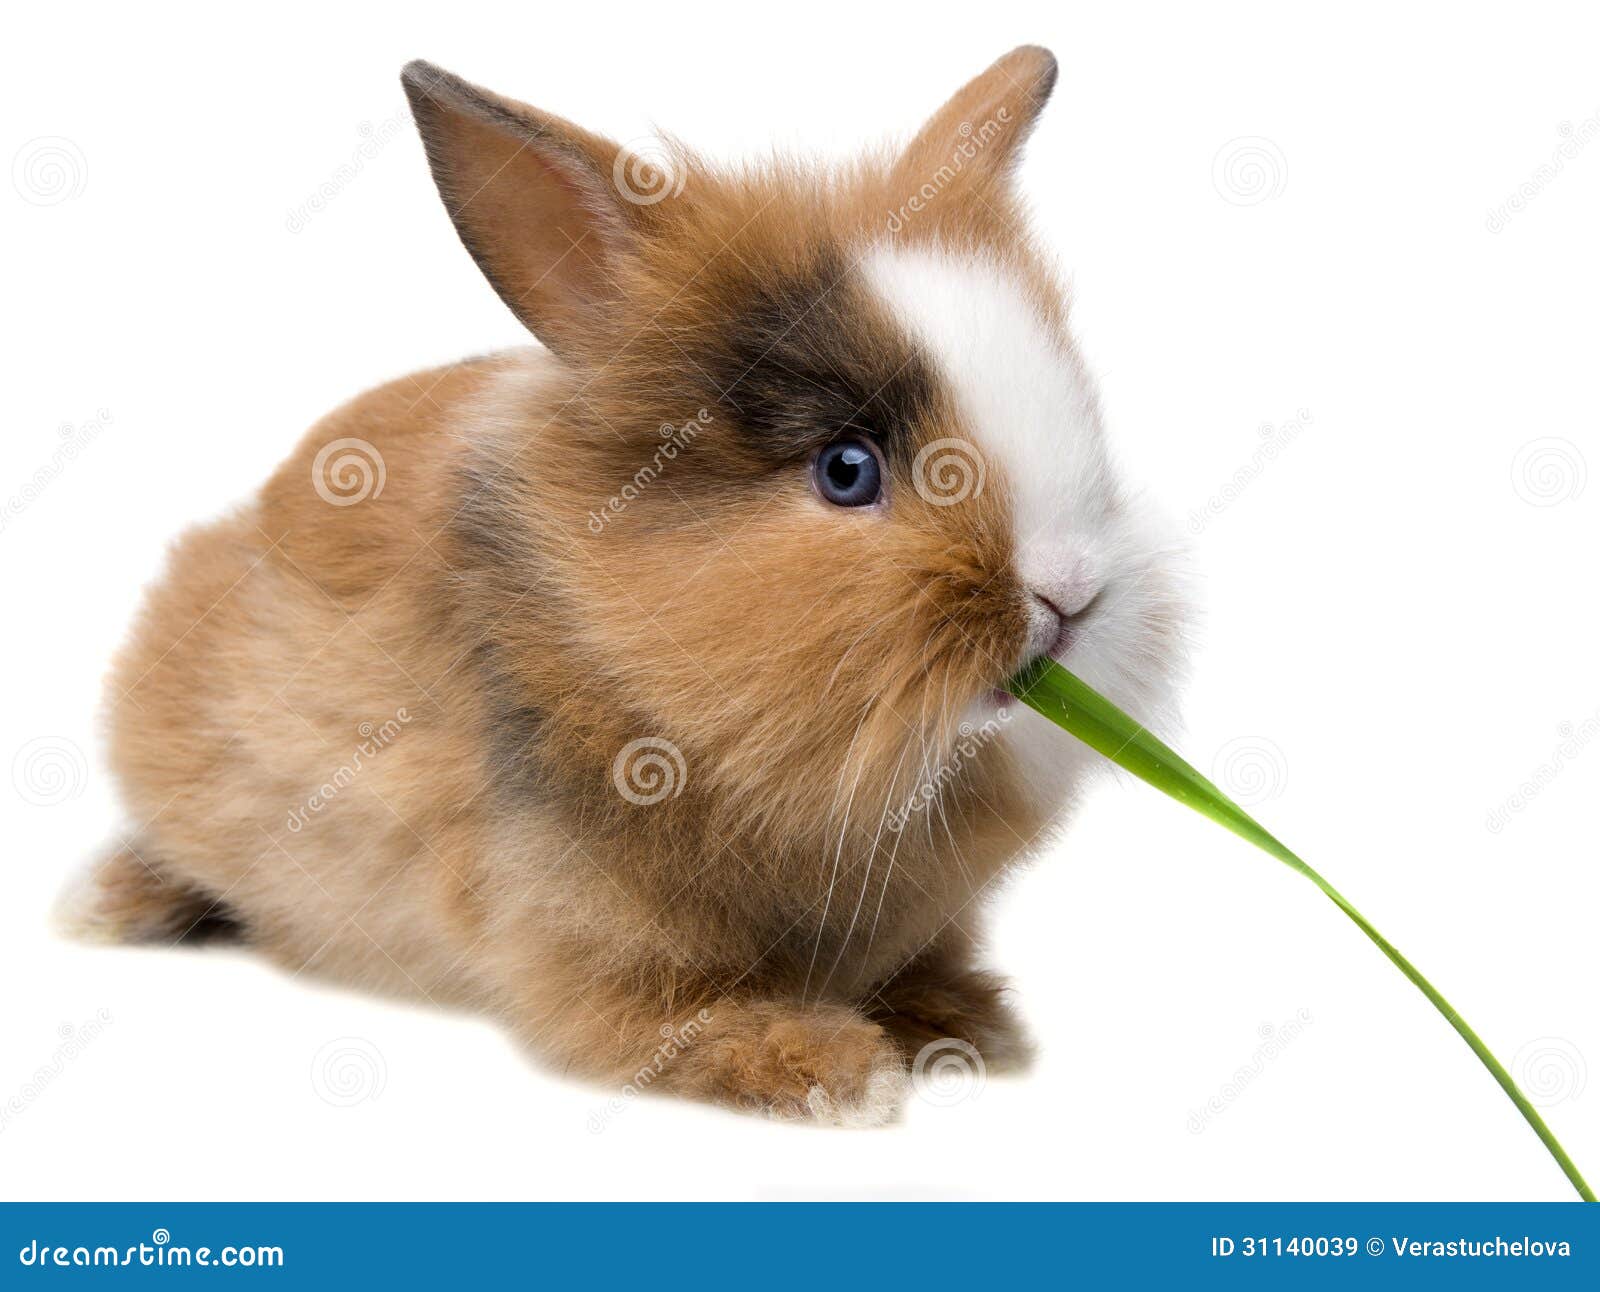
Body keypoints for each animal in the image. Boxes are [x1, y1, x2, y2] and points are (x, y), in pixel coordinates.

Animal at [62, 46, 1185, 1124]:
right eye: (846, 469)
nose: (1071, 595)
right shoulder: (581, 932)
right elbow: (661, 1022)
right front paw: (831, 1072)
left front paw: (968, 1025)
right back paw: (108, 904)